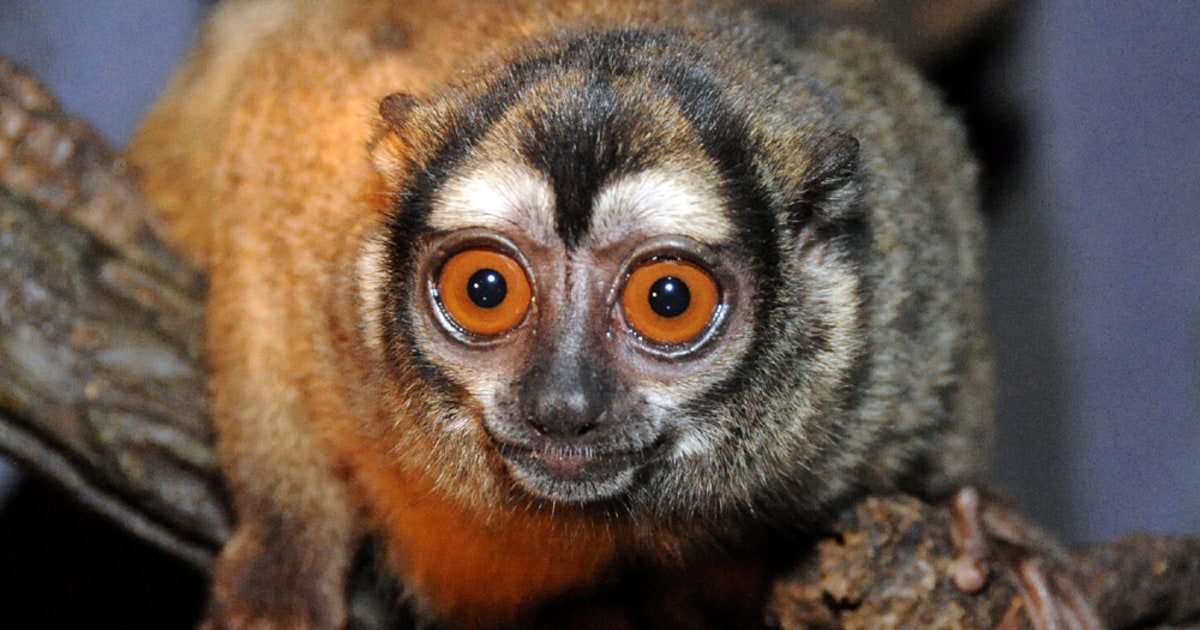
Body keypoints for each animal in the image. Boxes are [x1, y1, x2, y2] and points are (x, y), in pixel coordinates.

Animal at [125, 0, 992, 627]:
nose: (563, 405)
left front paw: (983, 534)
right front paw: (285, 557)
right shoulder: (314, 178)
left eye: (669, 300)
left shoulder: (908, 296)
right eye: (485, 290)